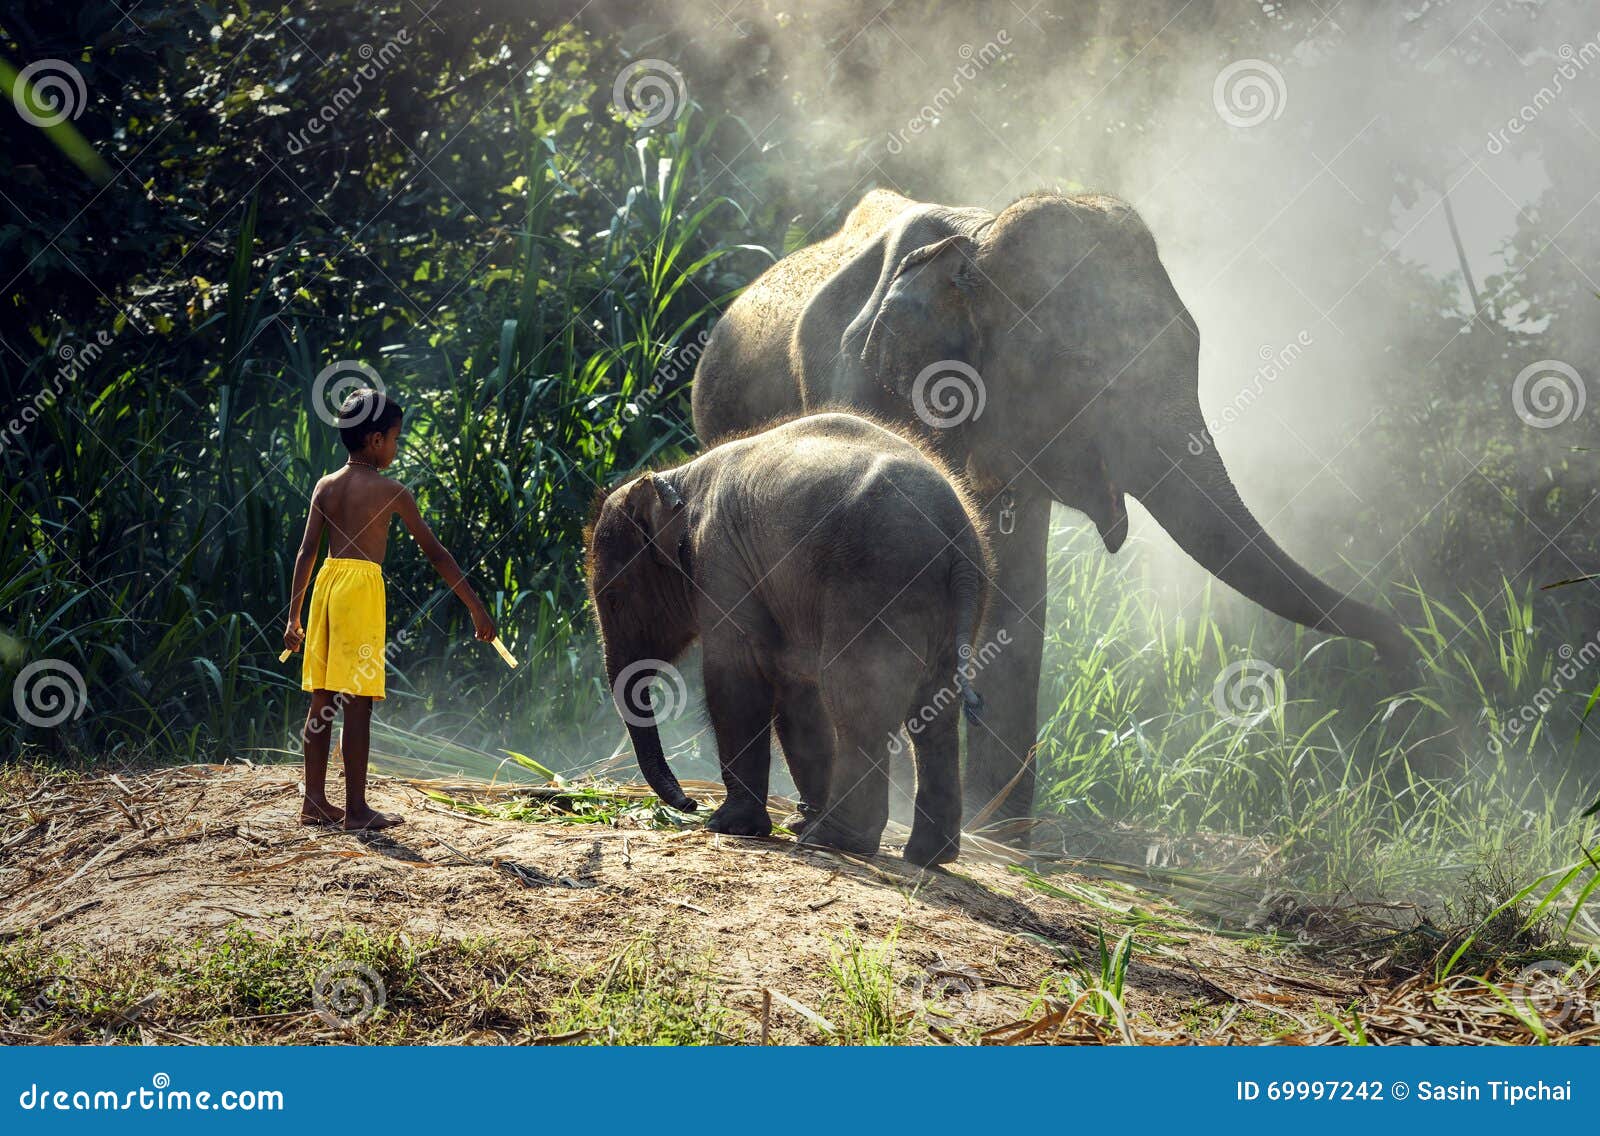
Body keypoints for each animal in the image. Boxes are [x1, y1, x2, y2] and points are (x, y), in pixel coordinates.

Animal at [585, 411, 991, 866]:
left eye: (613, 598)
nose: (690, 803)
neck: (679, 478)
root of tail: (957, 535)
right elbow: (795, 694)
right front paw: (795, 821)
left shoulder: (721, 561)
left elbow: (735, 679)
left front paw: (730, 826)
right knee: (934, 711)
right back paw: (926, 856)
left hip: (877, 586)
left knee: (856, 701)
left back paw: (836, 840)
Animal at [691, 189, 1413, 829]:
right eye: (1086, 367)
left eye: (1194, 347)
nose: (1401, 662)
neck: (975, 247)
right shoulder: (858, 384)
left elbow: (1014, 598)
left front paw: (997, 828)